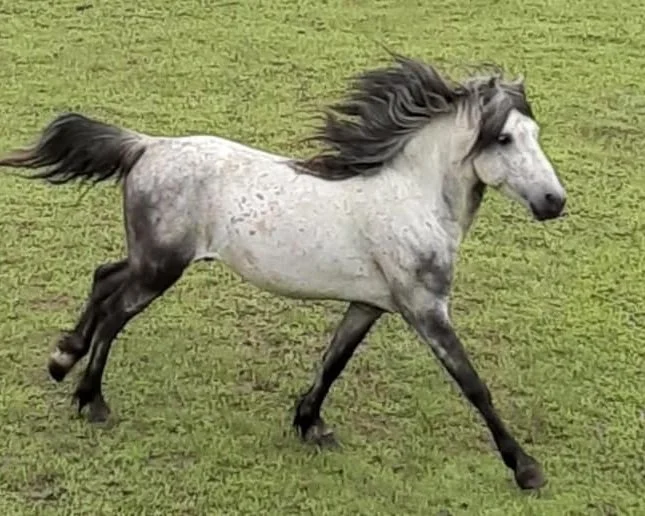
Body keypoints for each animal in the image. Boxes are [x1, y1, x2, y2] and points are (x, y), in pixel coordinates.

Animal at [0, 54, 566, 490]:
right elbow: (473, 384)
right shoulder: (425, 310)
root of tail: (148, 145)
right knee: (115, 311)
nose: (553, 201)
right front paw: (526, 469)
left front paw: (309, 424)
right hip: (160, 268)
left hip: (151, 259)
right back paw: (91, 399)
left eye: (536, 133)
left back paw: (62, 360)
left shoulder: (370, 303)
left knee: (103, 278)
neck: (411, 199)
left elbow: (334, 360)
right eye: (505, 139)